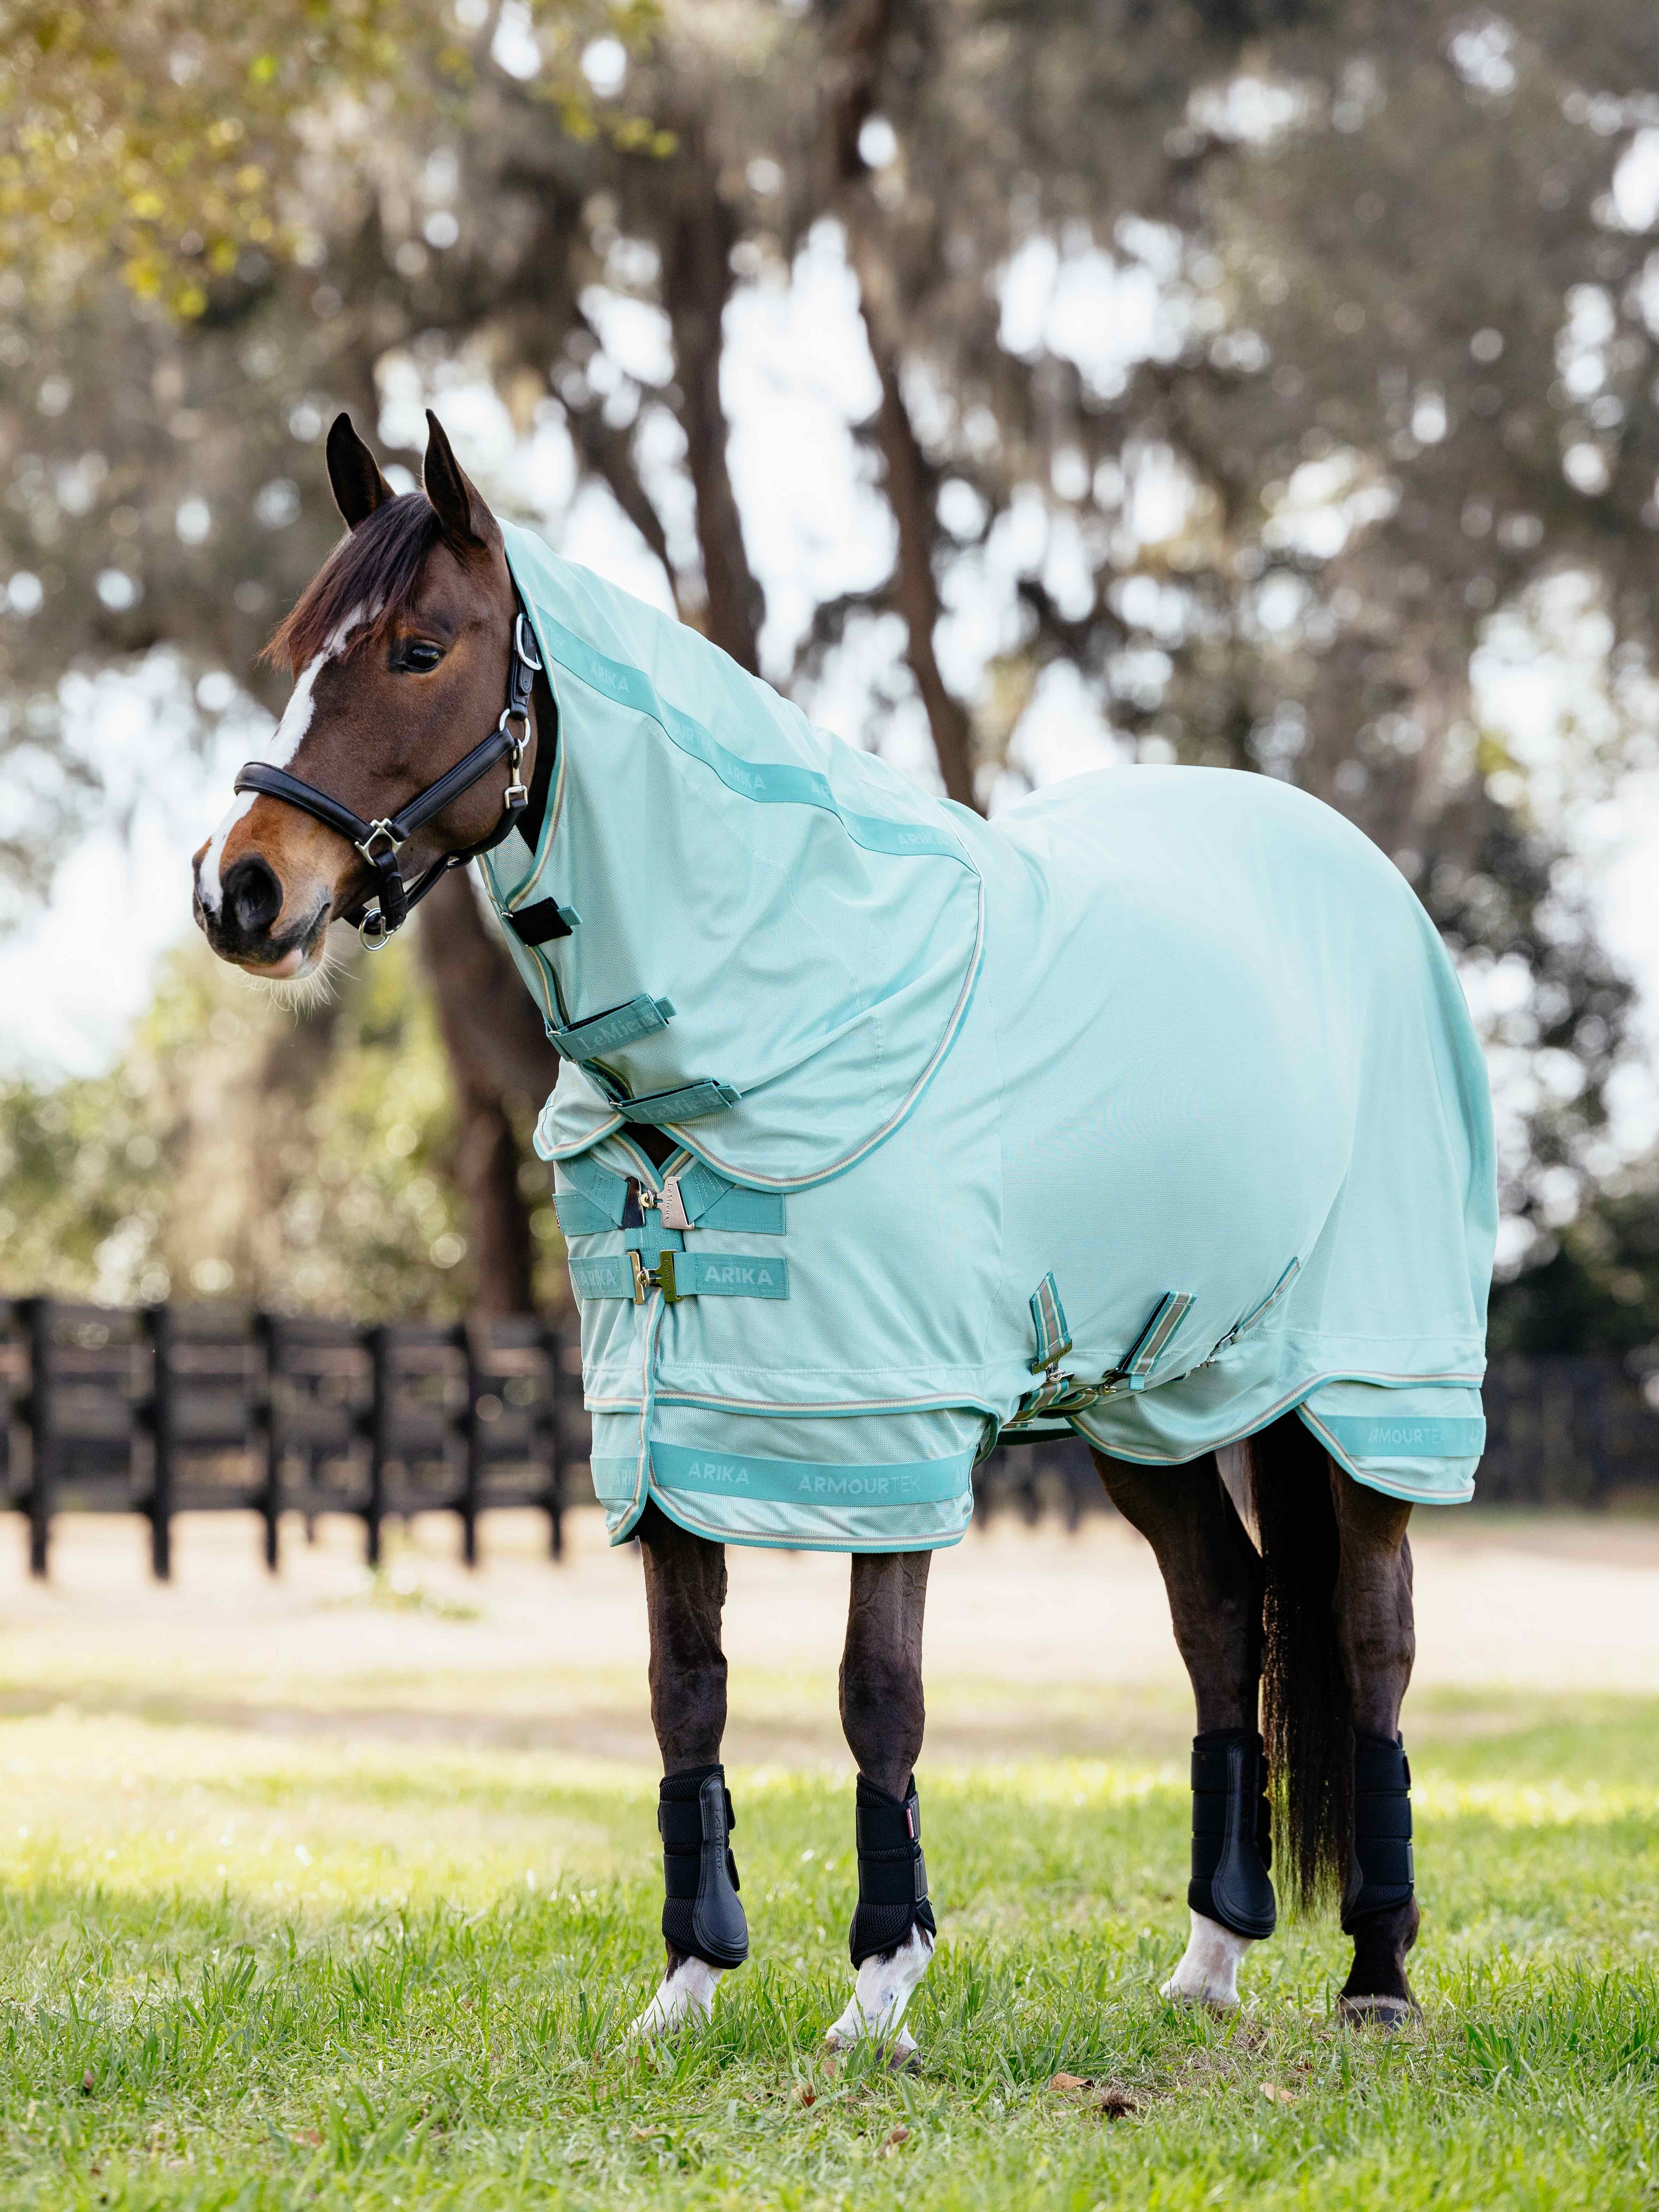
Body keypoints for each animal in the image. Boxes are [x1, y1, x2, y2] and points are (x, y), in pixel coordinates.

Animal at [192, 409, 1494, 2055]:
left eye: (420, 649)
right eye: (299, 649)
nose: (238, 889)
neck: (785, 1003)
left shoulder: (894, 1425)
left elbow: (878, 1692)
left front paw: (879, 1988)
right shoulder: (654, 1430)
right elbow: (683, 1687)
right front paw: (685, 1985)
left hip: (1370, 1387)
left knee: (1373, 1638)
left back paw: (1376, 1973)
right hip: (1150, 1404)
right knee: (1222, 1612)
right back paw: (1206, 1958)